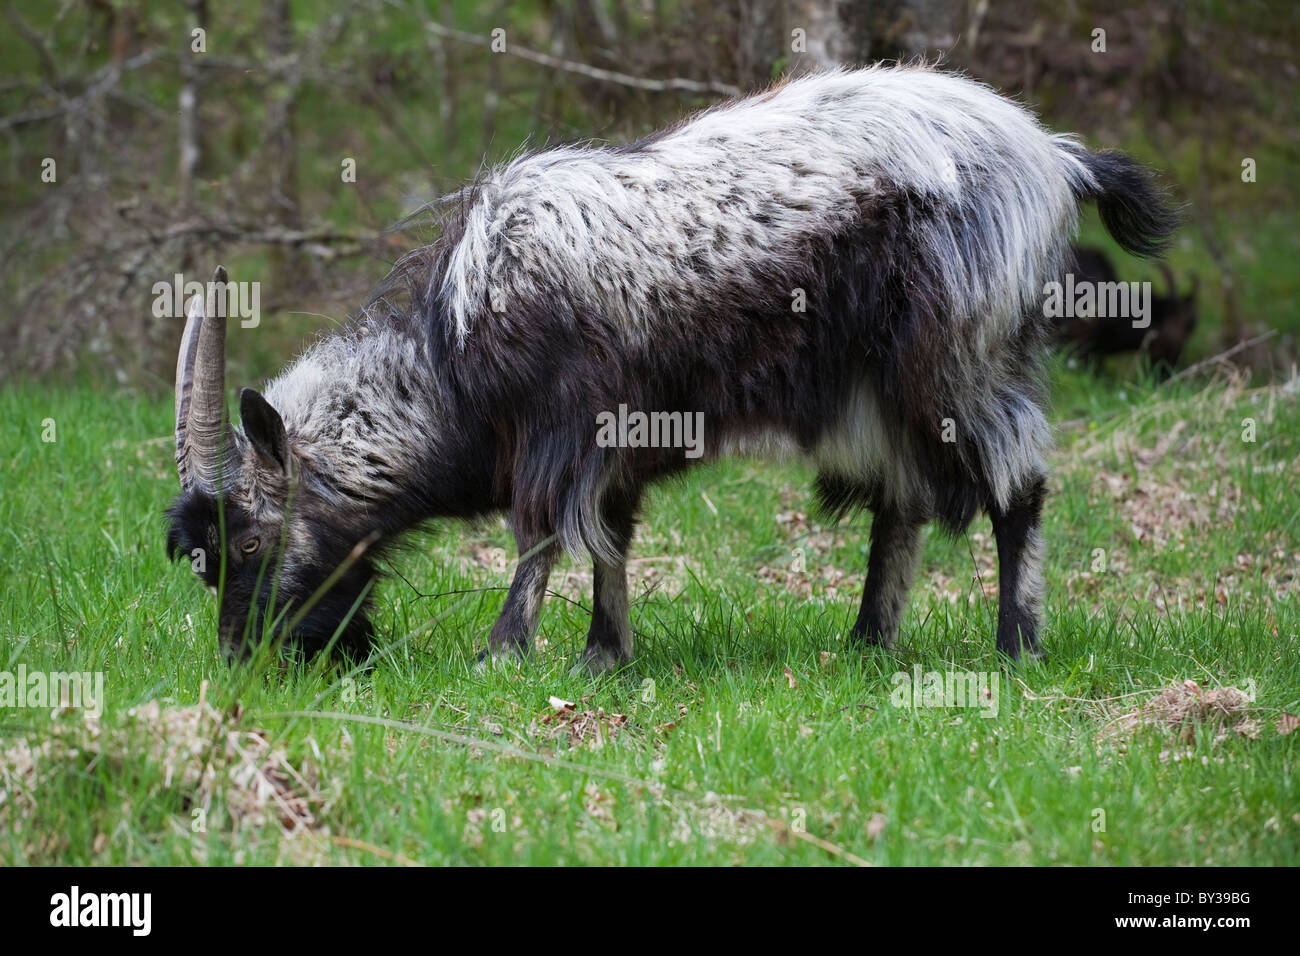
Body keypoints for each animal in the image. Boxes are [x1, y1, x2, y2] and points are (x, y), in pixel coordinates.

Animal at [166, 65, 1178, 668]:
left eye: (247, 542)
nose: (251, 662)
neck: (450, 353)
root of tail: (1057, 157)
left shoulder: (563, 430)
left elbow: (543, 533)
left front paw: (506, 652)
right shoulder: (620, 444)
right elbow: (613, 537)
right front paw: (603, 655)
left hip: (959, 362)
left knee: (1018, 485)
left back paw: (1017, 645)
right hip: (873, 389)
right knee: (904, 501)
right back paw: (866, 642)